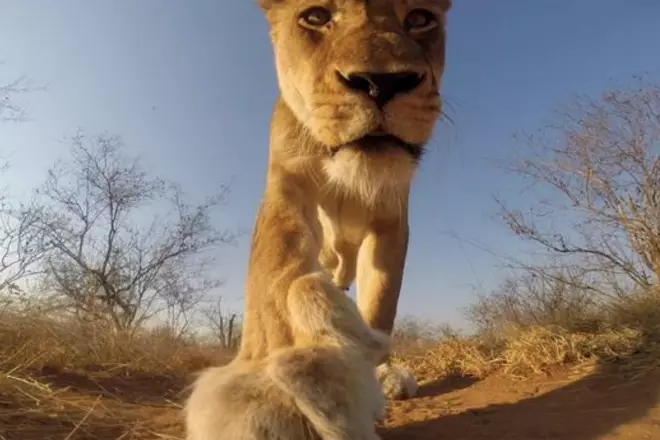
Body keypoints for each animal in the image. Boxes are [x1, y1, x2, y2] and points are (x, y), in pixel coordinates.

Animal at [238, 0, 454, 398]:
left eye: (419, 18)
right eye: (316, 16)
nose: (381, 83)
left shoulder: (389, 218)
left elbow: (382, 300)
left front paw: (381, 369)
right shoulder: (287, 185)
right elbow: (276, 259)